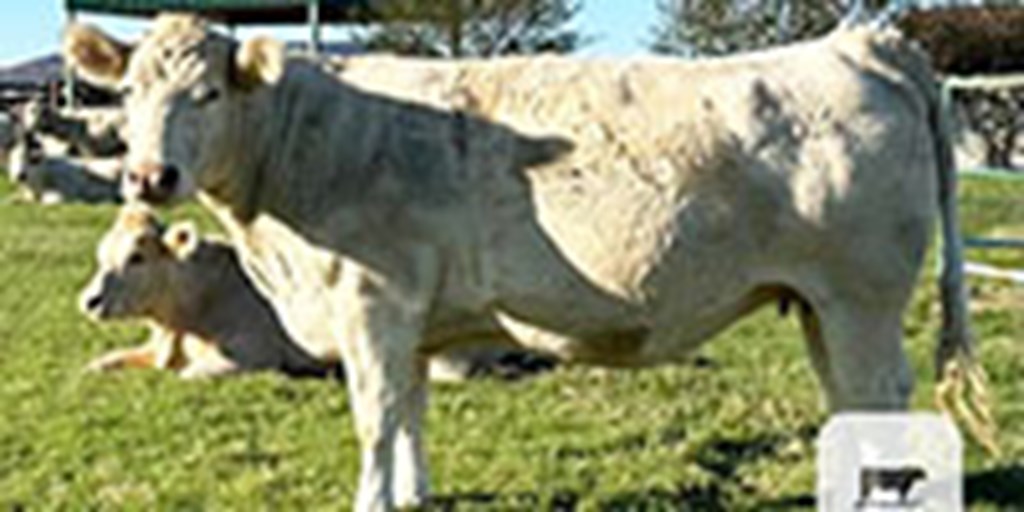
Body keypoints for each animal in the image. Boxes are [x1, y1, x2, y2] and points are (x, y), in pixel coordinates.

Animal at [80, 204, 552, 381]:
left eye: (137, 257)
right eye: (103, 253)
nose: (89, 300)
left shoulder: (250, 355)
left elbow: (188, 375)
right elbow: (104, 361)